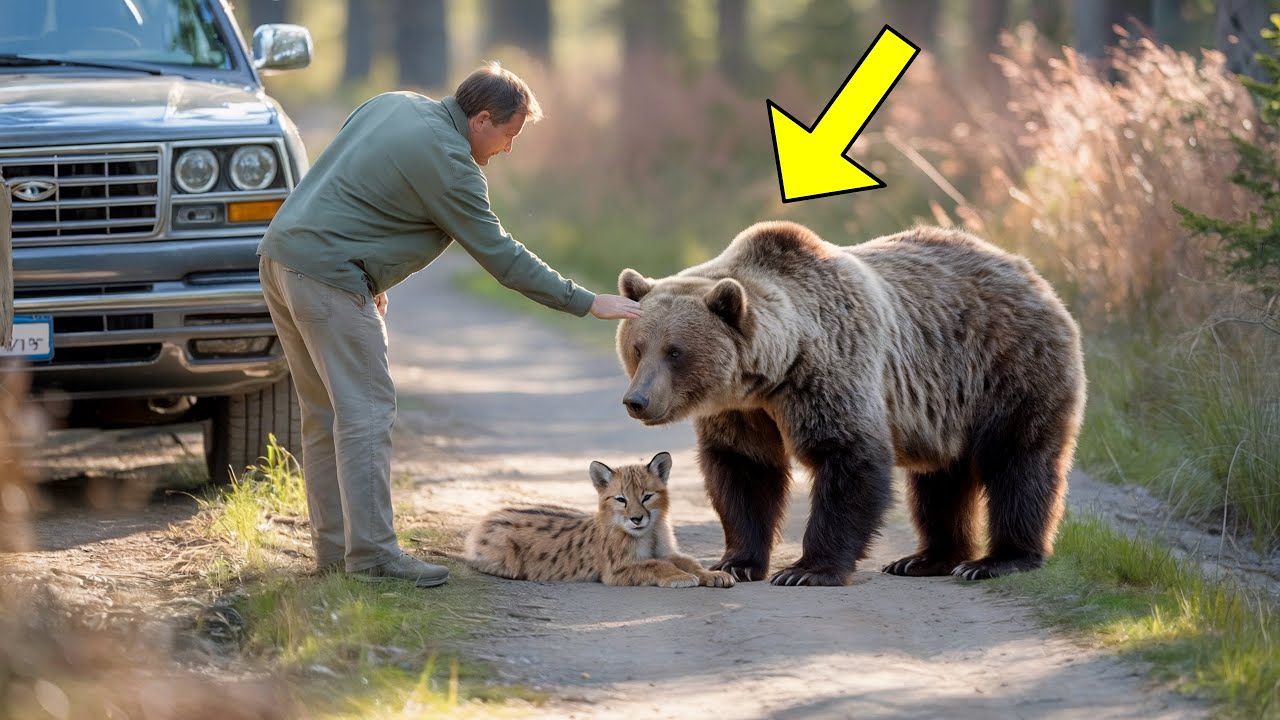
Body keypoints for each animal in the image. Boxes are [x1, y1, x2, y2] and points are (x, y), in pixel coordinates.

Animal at [614, 221, 1085, 586]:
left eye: (675, 351)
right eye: (637, 347)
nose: (637, 400)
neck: (772, 373)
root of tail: (1028, 272)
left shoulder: (830, 373)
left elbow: (848, 456)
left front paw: (806, 569)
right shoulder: (742, 413)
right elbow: (743, 471)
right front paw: (738, 562)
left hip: (1007, 368)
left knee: (1017, 461)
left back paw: (997, 560)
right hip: (944, 406)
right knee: (940, 479)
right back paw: (925, 559)